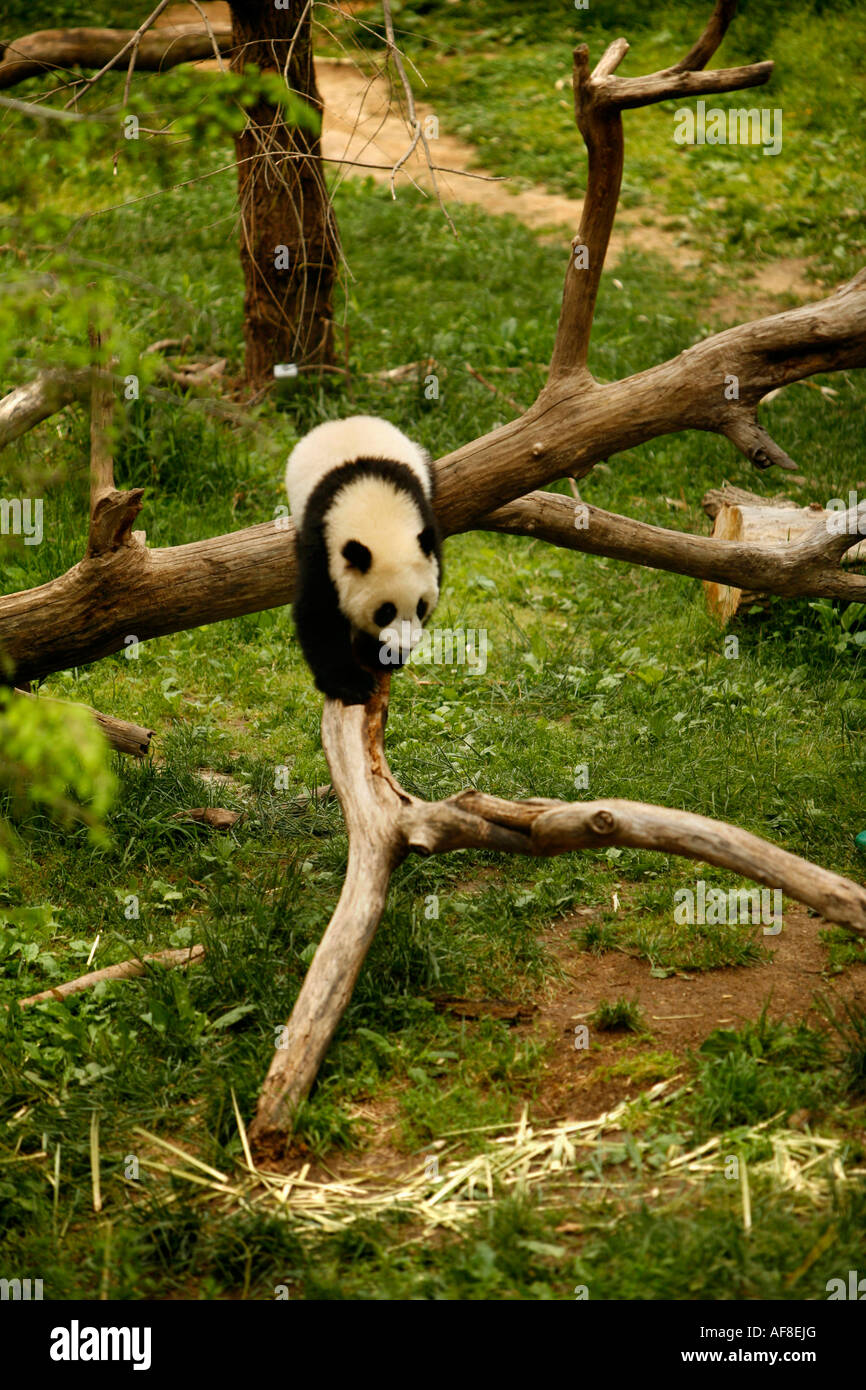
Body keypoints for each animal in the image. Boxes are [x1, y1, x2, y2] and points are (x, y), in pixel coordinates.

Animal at [285, 415, 442, 705]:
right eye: (385, 611)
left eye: (420, 607)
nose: (404, 645)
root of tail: (344, 420)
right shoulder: (321, 544)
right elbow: (318, 613)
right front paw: (352, 684)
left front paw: (382, 655)